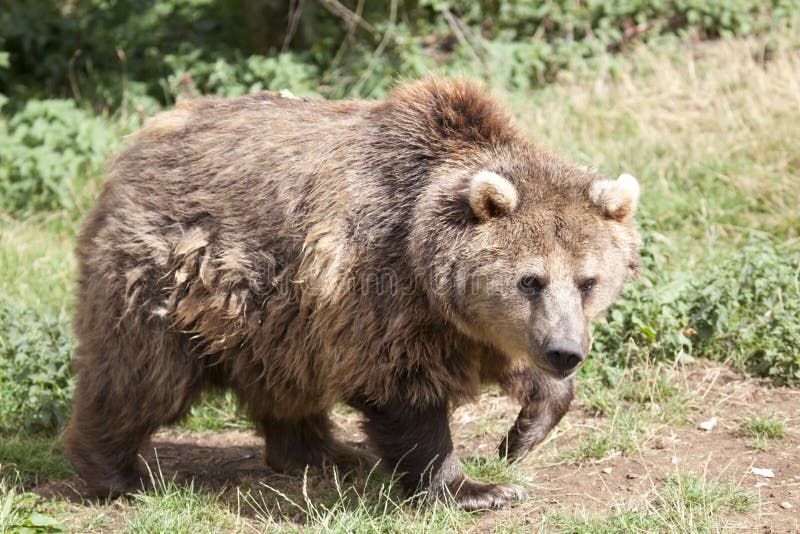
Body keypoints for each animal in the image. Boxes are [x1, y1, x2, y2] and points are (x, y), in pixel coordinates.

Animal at [64, 77, 640, 511]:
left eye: (588, 280)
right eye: (530, 279)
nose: (565, 352)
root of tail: (144, 139)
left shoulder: (477, 327)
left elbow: (520, 369)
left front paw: (519, 436)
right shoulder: (382, 287)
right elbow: (403, 388)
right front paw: (475, 488)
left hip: (274, 309)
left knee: (283, 377)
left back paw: (325, 453)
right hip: (179, 270)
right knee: (143, 375)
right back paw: (116, 475)